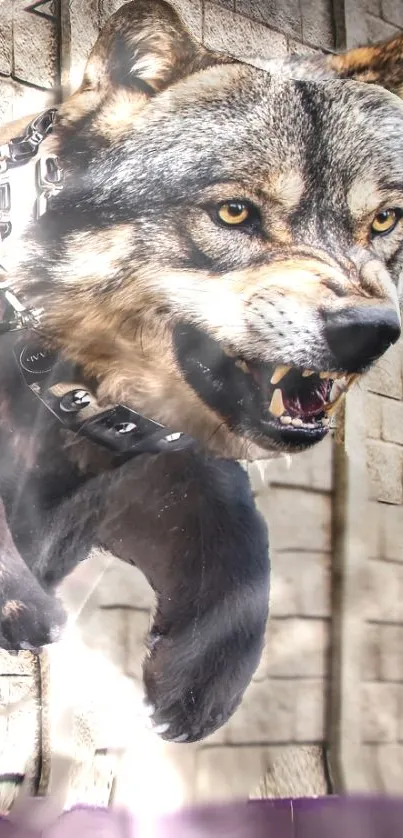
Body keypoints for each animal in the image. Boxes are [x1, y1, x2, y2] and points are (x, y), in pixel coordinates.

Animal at [0, 0, 402, 743]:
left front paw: (196, 689)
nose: (370, 332)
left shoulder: (169, 467)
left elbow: (249, 561)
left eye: (384, 220)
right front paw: (21, 608)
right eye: (234, 211)